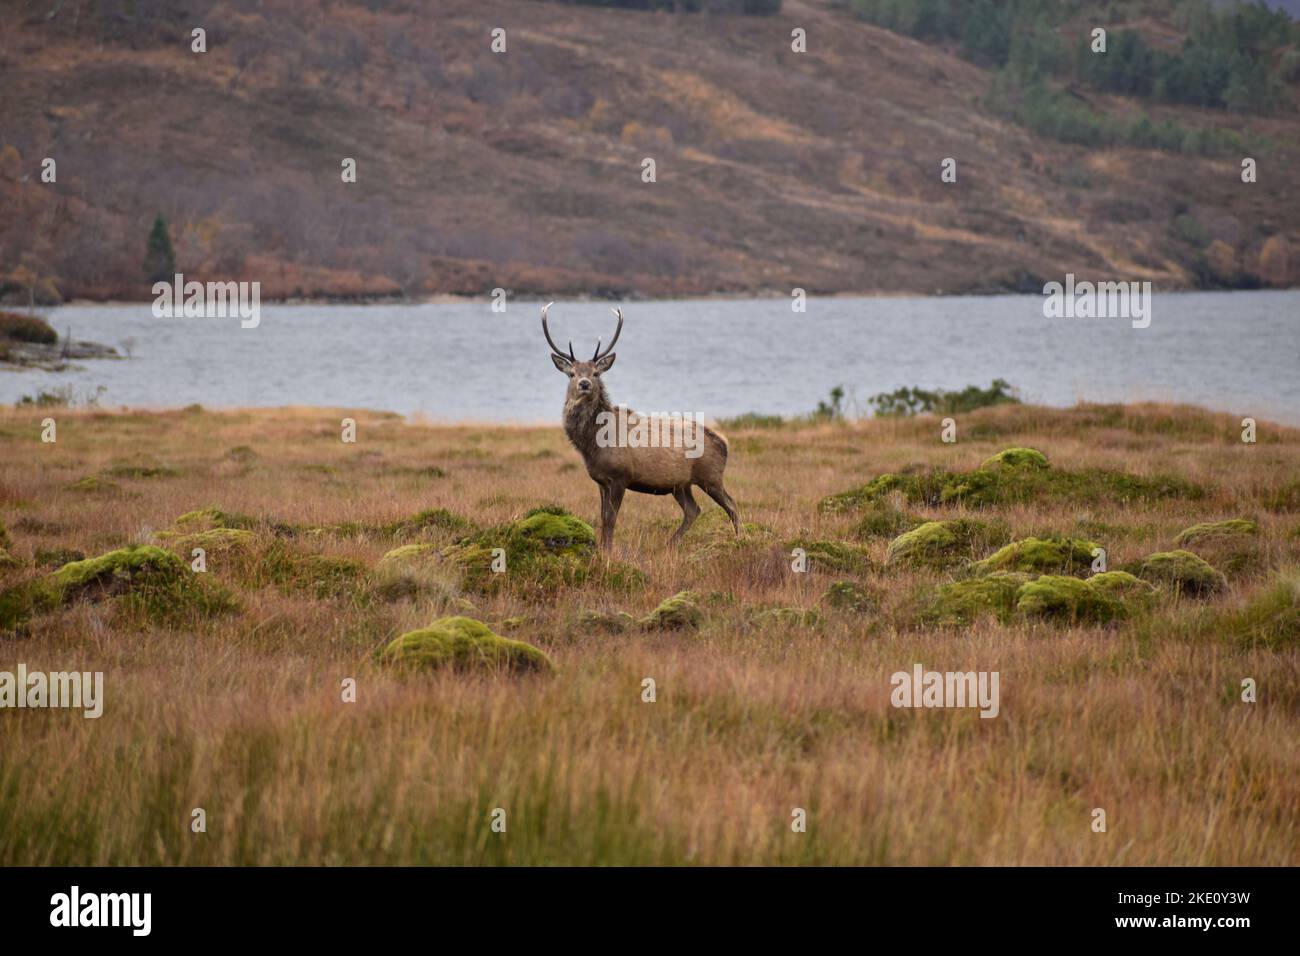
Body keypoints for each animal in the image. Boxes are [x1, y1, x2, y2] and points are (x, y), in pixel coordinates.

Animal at [541, 302, 740, 550]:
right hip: (680, 484)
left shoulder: (620, 476)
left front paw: (608, 552)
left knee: (731, 505)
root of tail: (724, 442)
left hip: (711, 475)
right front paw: (602, 549)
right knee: (693, 510)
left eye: (596, 373)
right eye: (571, 373)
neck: (592, 445)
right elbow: (602, 517)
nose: (584, 384)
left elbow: (611, 518)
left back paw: (741, 539)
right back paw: (669, 544)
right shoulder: (601, 480)